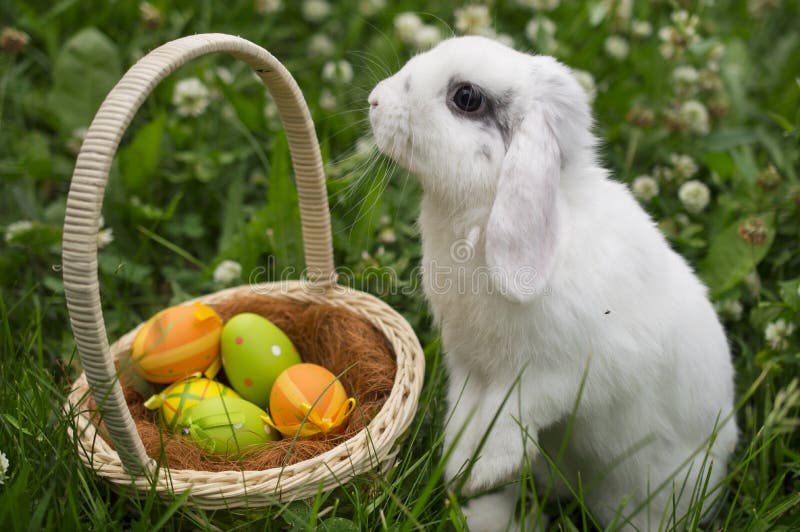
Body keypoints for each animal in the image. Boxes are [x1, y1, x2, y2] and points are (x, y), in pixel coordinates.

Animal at [368, 36, 738, 531]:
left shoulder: (565, 371)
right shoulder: (468, 367)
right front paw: (460, 472)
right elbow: (466, 419)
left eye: (466, 97)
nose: (375, 100)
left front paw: (485, 471)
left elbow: (513, 412)